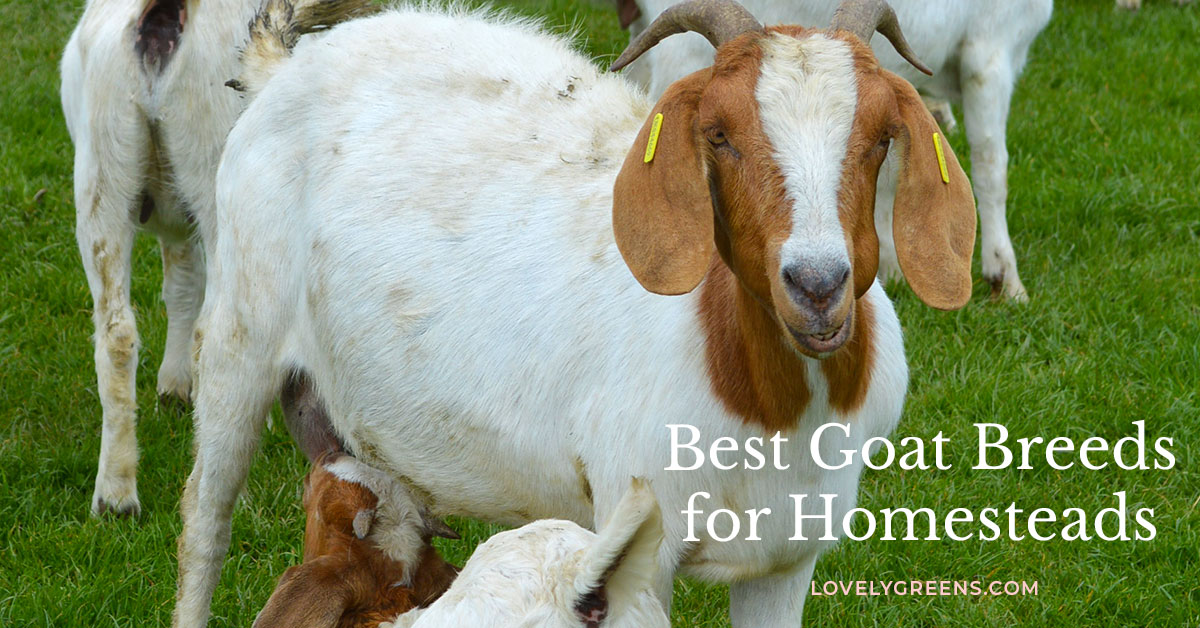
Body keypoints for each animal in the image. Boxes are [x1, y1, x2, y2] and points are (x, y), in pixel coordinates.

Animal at [60, 0, 374, 516]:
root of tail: (164, 17)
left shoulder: (174, 219)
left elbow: (181, 283)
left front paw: (173, 386)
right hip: (211, 154)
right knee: (215, 331)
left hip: (101, 169)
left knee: (116, 330)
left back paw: (116, 493)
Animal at [617, 0, 1052, 301]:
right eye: (720, 134)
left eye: (879, 136)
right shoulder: (990, 52)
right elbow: (991, 165)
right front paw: (1006, 279)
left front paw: (891, 266)